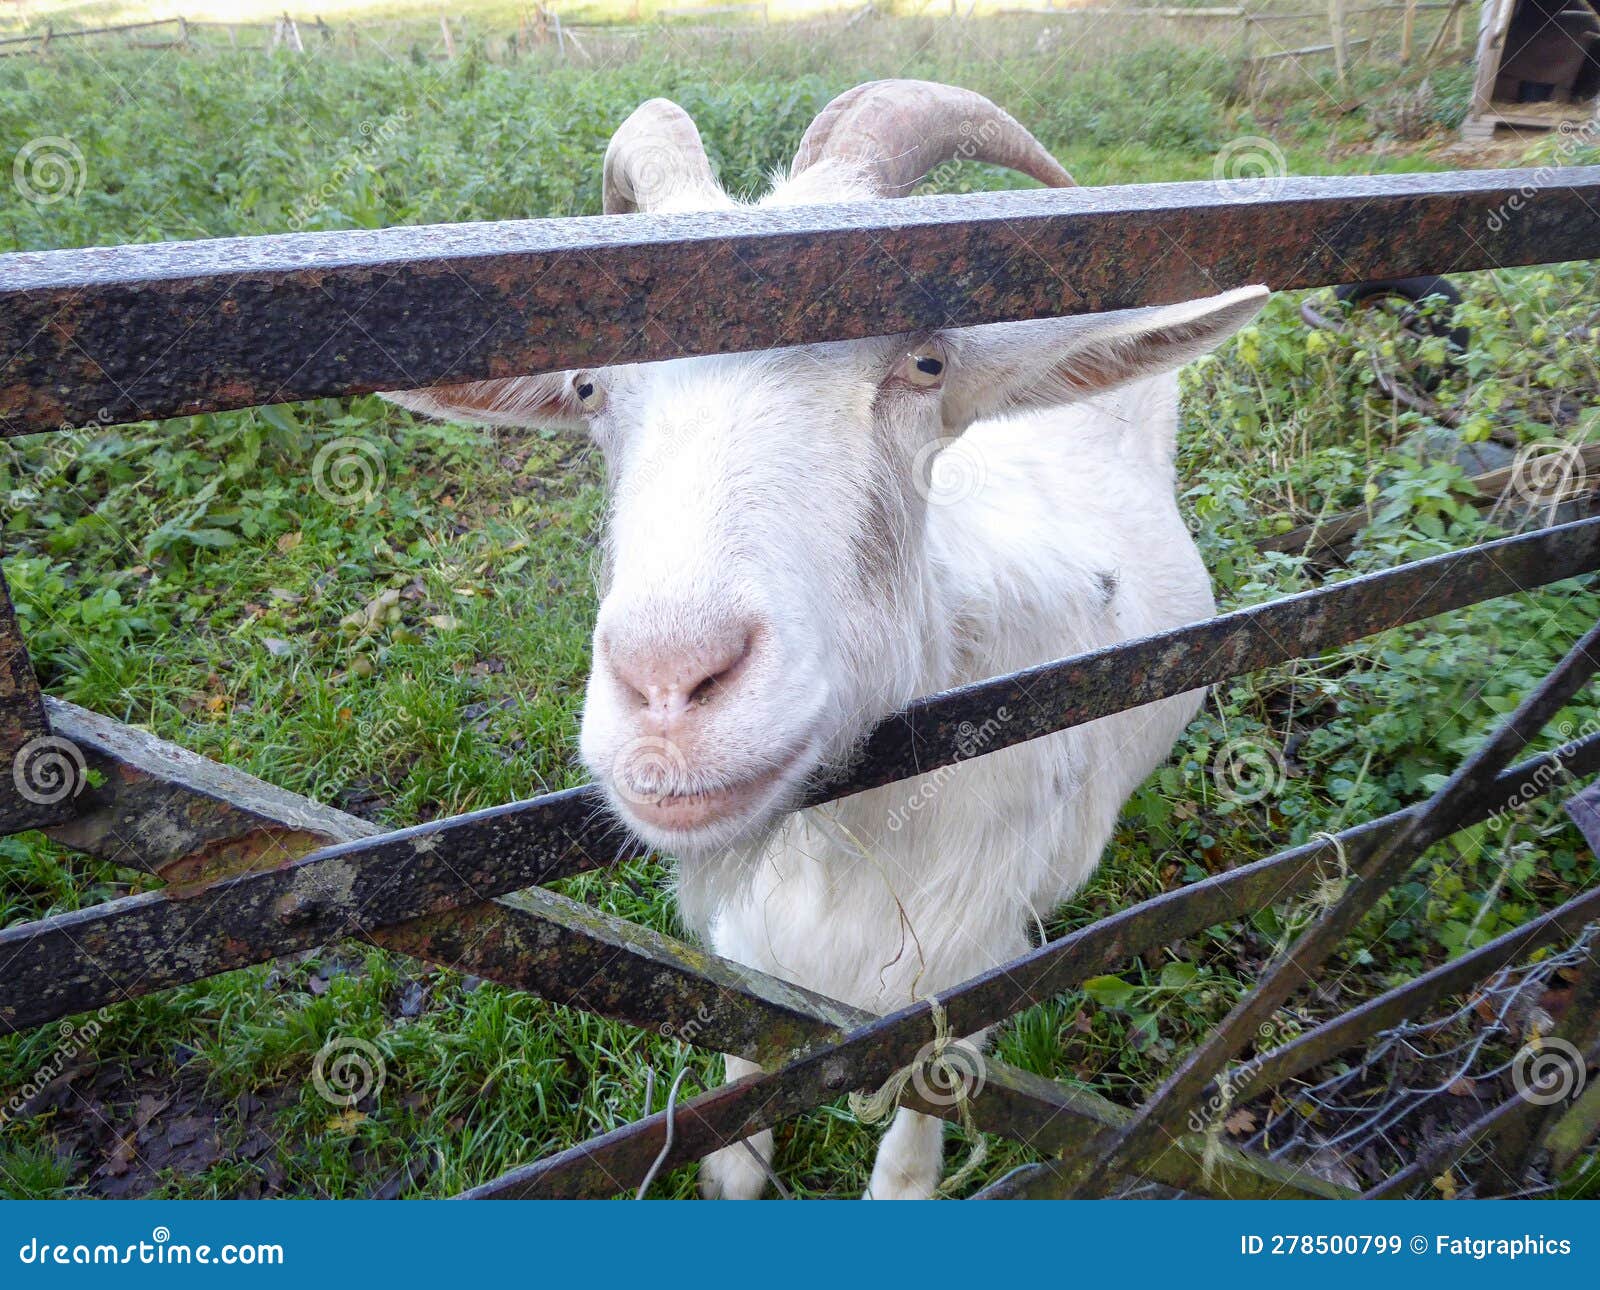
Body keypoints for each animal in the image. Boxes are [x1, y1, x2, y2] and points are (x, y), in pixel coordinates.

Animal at [387, 80, 1267, 1199]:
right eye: (590, 388)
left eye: (925, 361)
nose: (669, 683)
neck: (849, 839)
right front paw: (736, 1157)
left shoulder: (975, 962)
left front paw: (903, 1175)